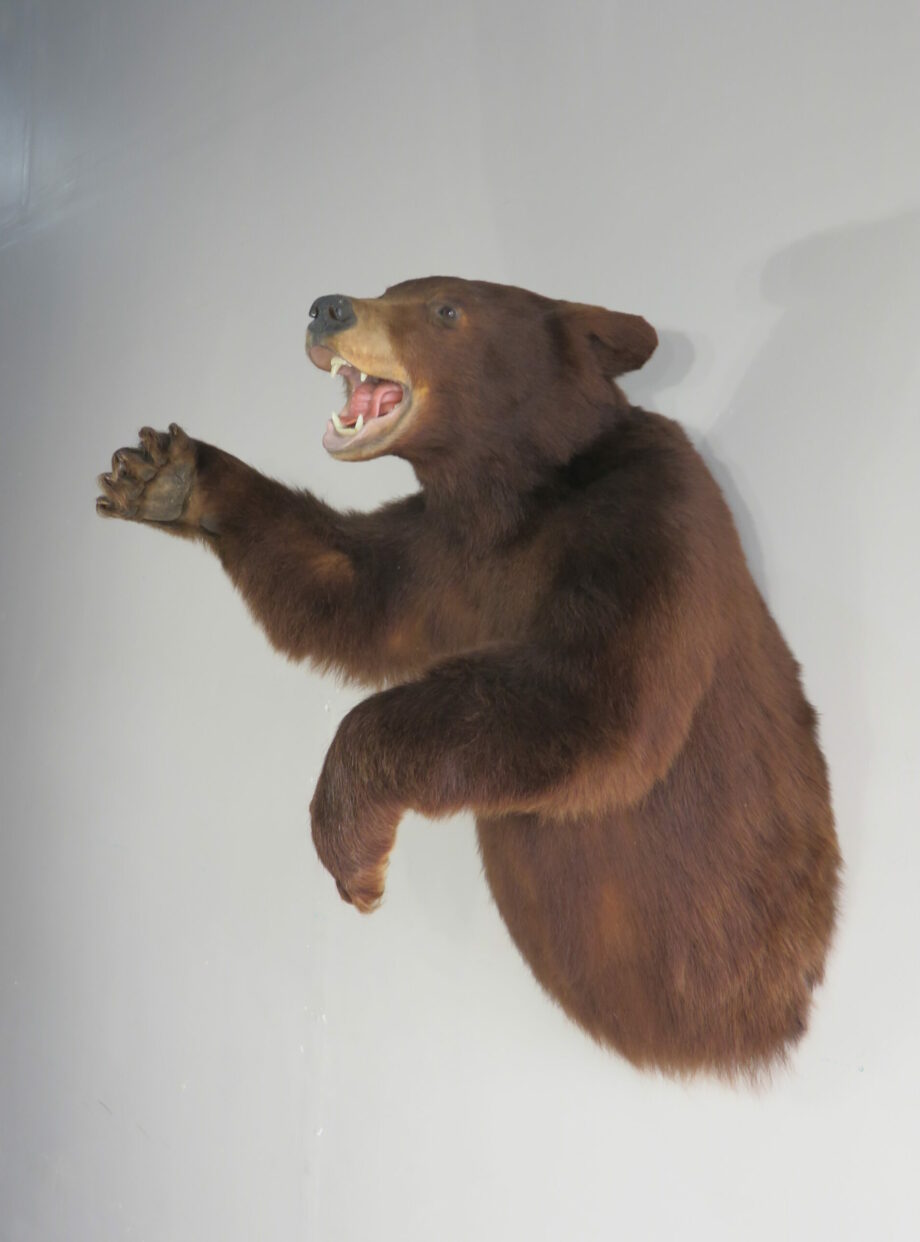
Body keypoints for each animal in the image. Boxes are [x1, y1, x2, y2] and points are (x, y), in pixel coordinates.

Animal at [96, 276, 841, 1078]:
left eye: (445, 308)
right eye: (391, 288)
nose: (327, 307)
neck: (508, 491)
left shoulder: (643, 512)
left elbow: (599, 703)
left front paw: (352, 848)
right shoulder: (439, 553)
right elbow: (340, 585)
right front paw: (166, 475)